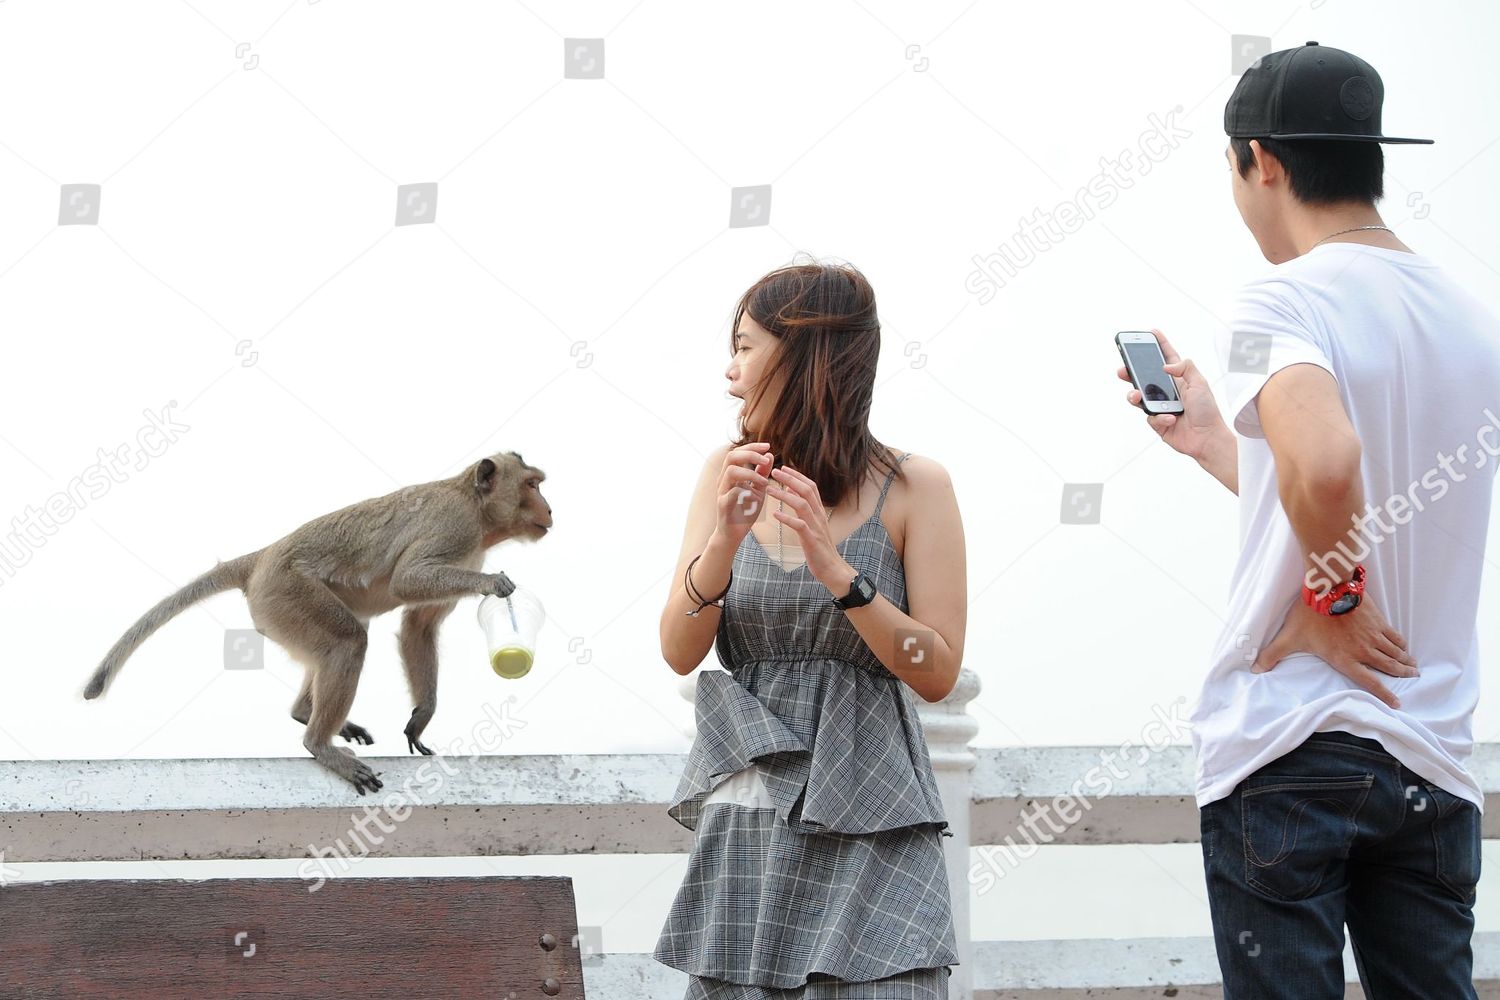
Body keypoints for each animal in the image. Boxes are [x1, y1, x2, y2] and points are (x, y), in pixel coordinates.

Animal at [82, 451, 552, 795]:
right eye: (531, 485)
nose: (549, 508)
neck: (478, 511)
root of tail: (263, 557)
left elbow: (419, 627)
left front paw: (422, 715)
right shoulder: (455, 527)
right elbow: (407, 579)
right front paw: (494, 584)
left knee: (338, 643)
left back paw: (306, 713)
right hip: (285, 592)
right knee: (348, 640)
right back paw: (319, 744)